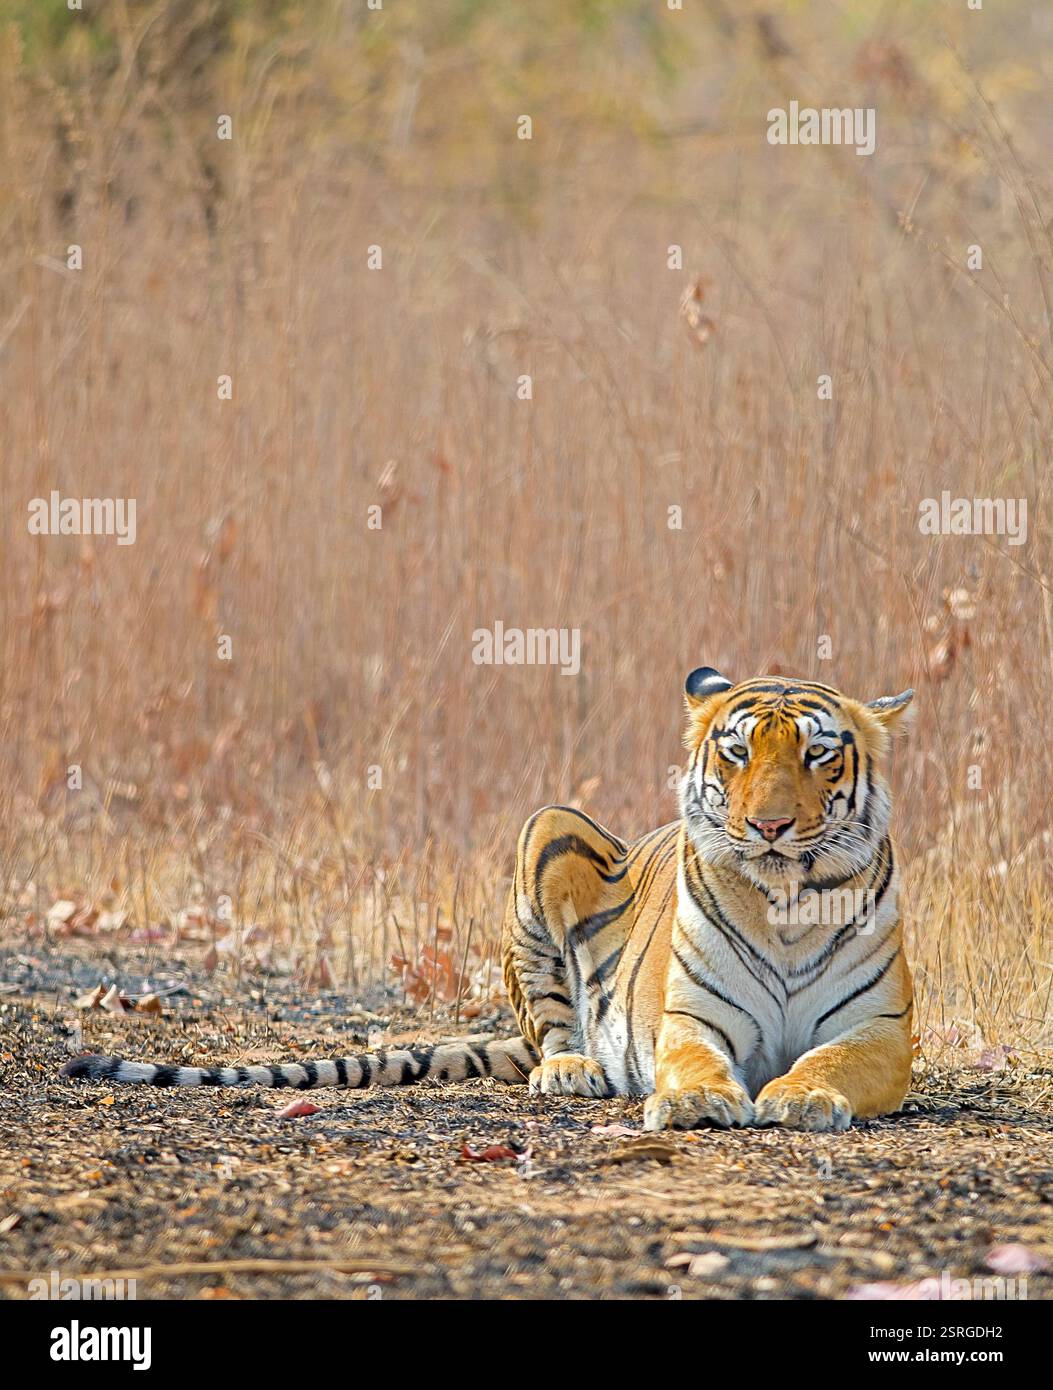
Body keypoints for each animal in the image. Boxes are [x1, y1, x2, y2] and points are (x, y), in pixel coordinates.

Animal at [64, 668, 915, 1133]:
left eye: (817, 753)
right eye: (736, 752)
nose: (768, 826)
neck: (784, 907)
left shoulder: (879, 1030)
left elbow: (828, 1058)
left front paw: (799, 1099)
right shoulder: (692, 1018)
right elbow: (695, 1062)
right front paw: (698, 1101)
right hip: (547, 831)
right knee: (554, 1028)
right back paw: (571, 1070)